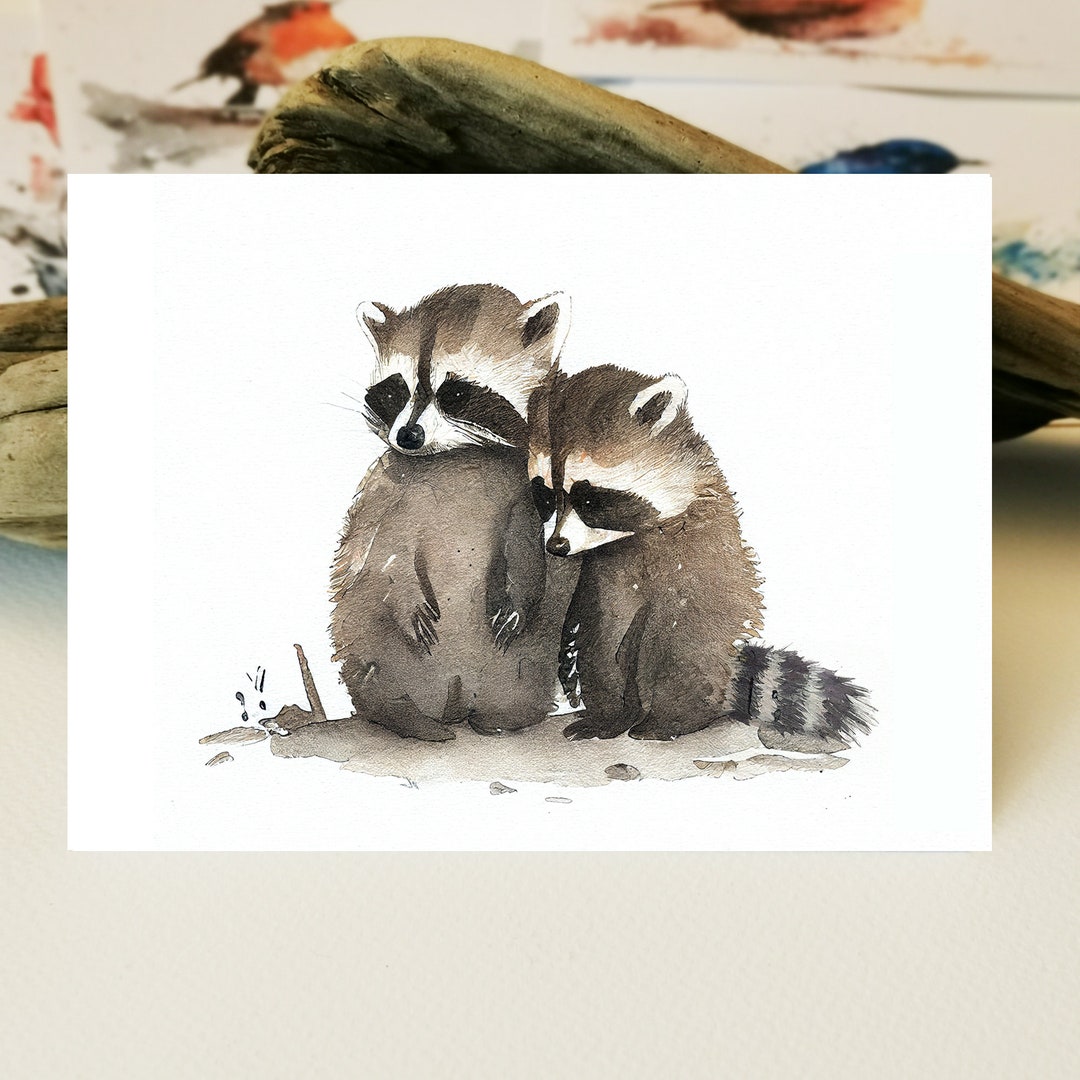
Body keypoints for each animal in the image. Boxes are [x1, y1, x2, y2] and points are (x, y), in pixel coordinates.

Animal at [330, 284, 580, 742]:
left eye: (456, 393)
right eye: (395, 390)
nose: (408, 436)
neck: (455, 455)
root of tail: (457, 697)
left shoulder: (523, 488)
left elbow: (527, 544)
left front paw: (519, 596)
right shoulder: (388, 492)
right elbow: (383, 553)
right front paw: (407, 597)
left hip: (521, 659)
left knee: (524, 667)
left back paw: (505, 716)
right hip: (367, 637)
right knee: (374, 654)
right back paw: (403, 715)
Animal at [530, 363, 872, 746]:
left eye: (590, 500)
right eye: (546, 496)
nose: (556, 546)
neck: (631, 536)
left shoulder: (698, 551)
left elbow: (675, 636)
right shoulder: (606, 568)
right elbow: (598, 624)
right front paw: (606, 705)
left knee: (689, 652)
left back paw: (674, 716)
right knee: (605, 646)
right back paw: (617, 713)